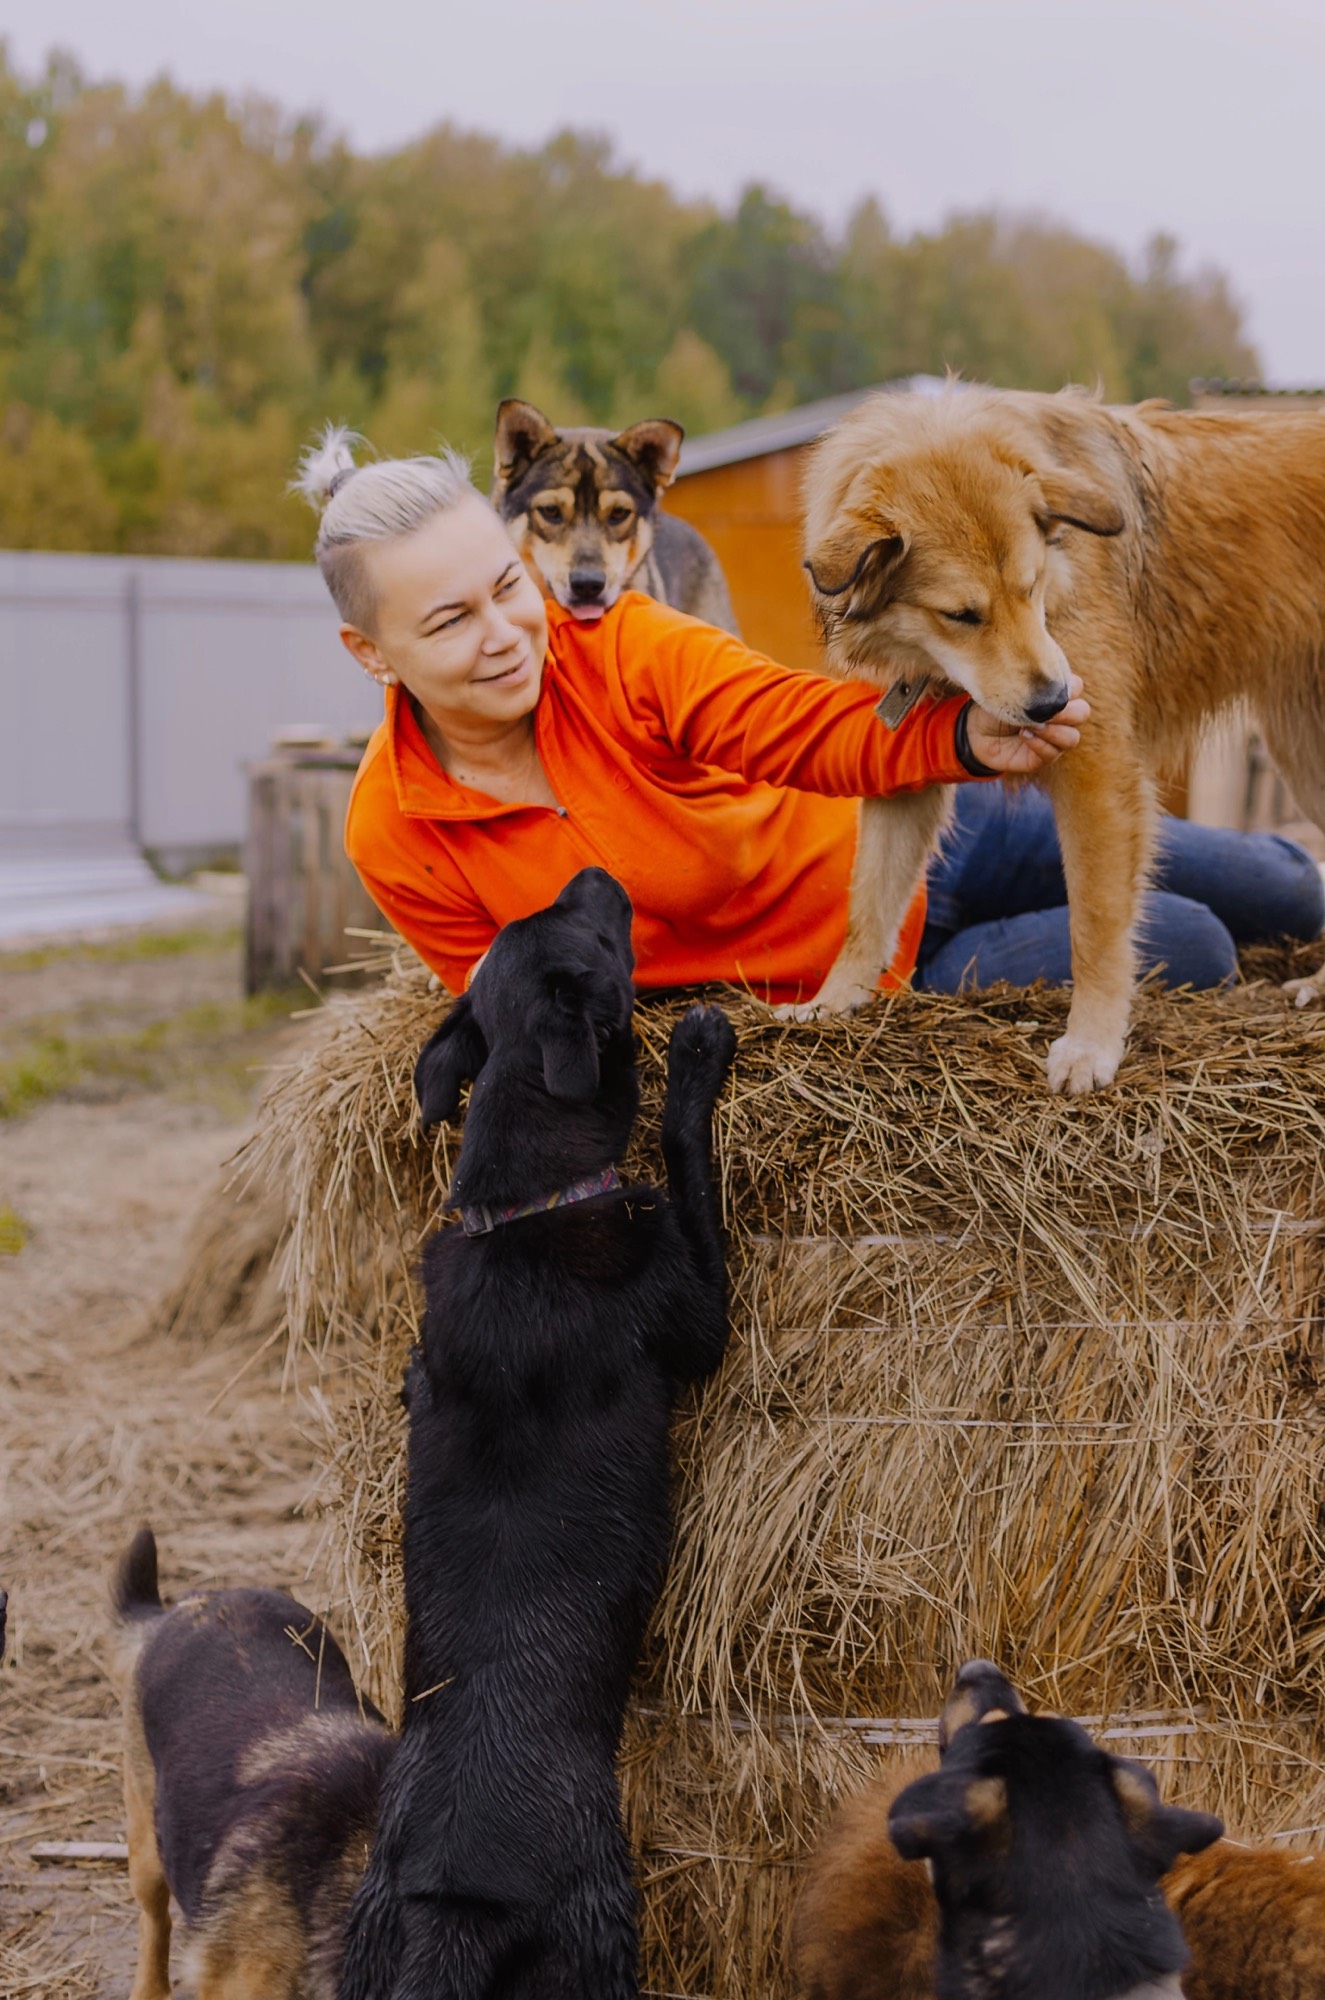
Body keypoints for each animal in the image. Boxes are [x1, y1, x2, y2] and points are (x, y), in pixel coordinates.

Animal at [800, 388, 1325, 1096]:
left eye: (1031, 585)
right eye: (961, 615)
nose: (1052, 701)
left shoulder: (1099, 770)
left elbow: (1096, 925)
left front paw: (1091, 1044)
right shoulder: (903, 767)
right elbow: (869, 903)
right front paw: (833, 1001)